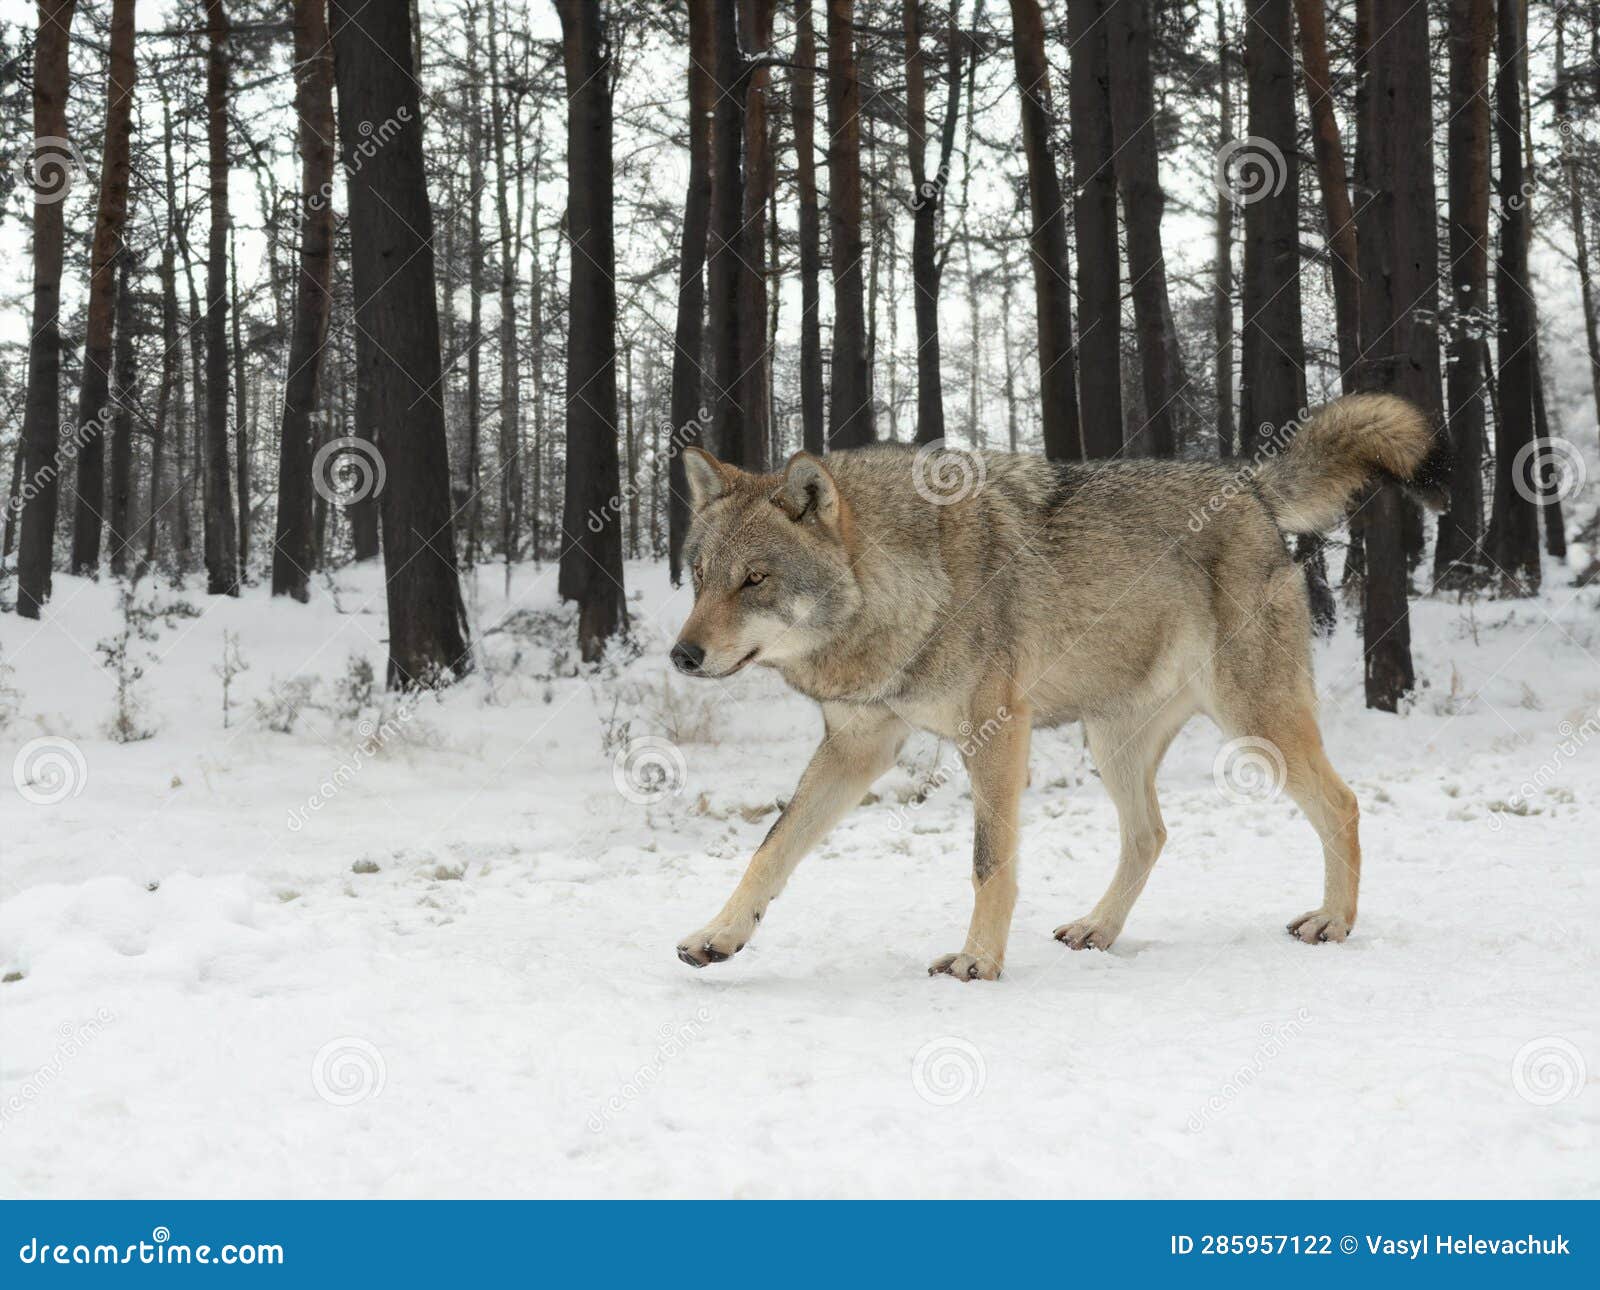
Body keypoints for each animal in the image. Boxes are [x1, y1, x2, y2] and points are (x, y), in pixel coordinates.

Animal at [670, 393, 1446, 979]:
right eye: (702, 575)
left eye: (755, 580)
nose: (682, 655)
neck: (902, 586)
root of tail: (1251, 488)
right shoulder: (857, 746)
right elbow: (771, 848)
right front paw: (719, 935)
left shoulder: (995, 734)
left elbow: (989, 862)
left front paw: (977, 963)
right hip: (1112, 741)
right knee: (1151, 834)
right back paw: (1098, 928)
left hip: (1254, 722)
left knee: (1342, 805)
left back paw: (1333, 922)